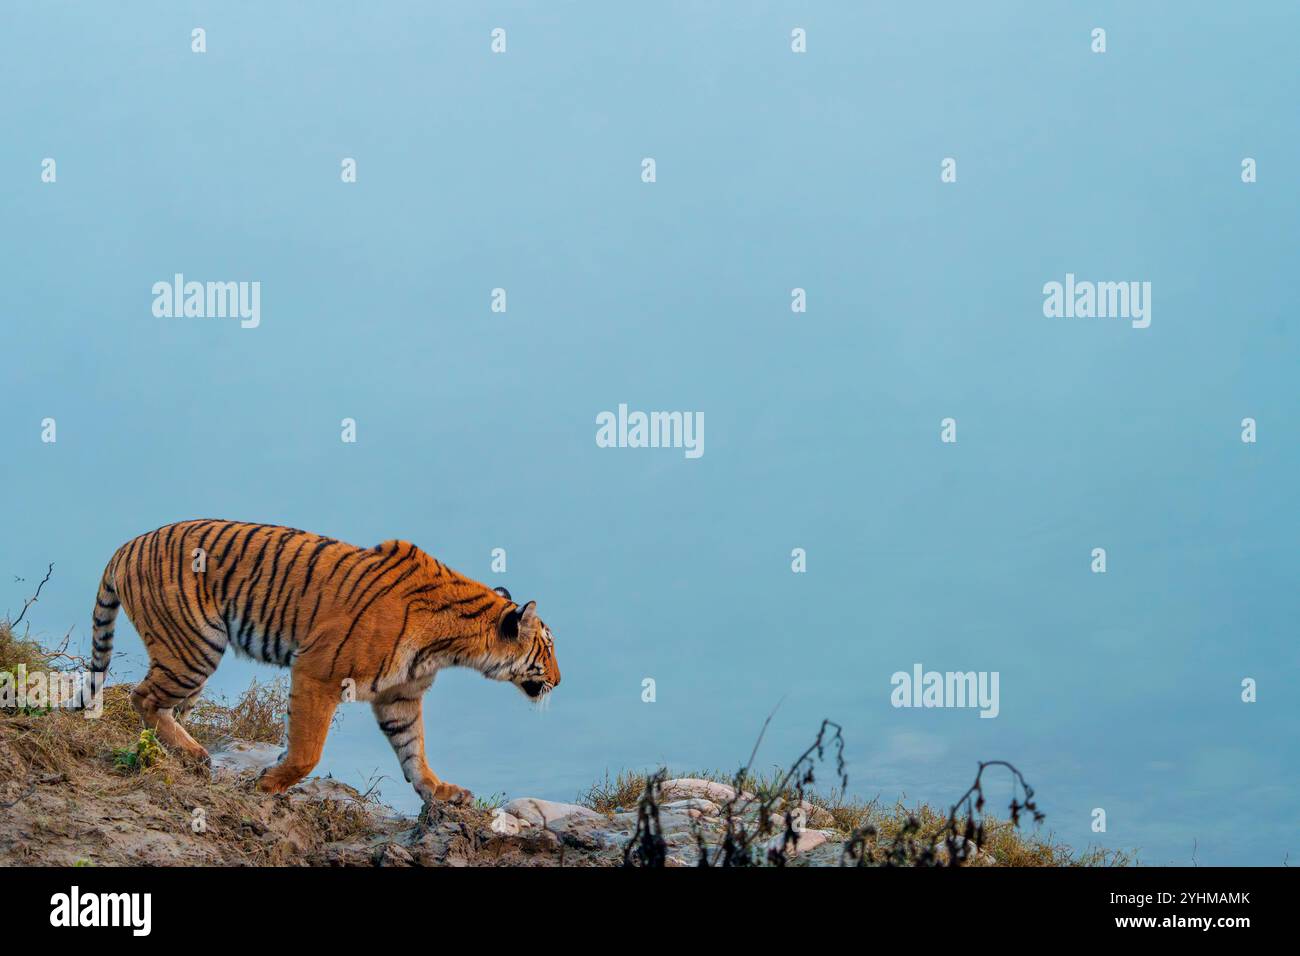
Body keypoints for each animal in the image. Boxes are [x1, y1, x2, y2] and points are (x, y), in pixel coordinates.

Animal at [88, 519, 561, 804]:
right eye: (549, 648)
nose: (559, 680)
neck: (450, 645)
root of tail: (127, 545)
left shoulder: (400, 696)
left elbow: (413, 748)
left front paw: (438, 790)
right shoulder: (319, 671)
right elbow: (307, 750)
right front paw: (267, 783)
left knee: (165, 705)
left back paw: (184, 753)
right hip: (194, 648)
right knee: (142, 698)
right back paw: (195, 754)